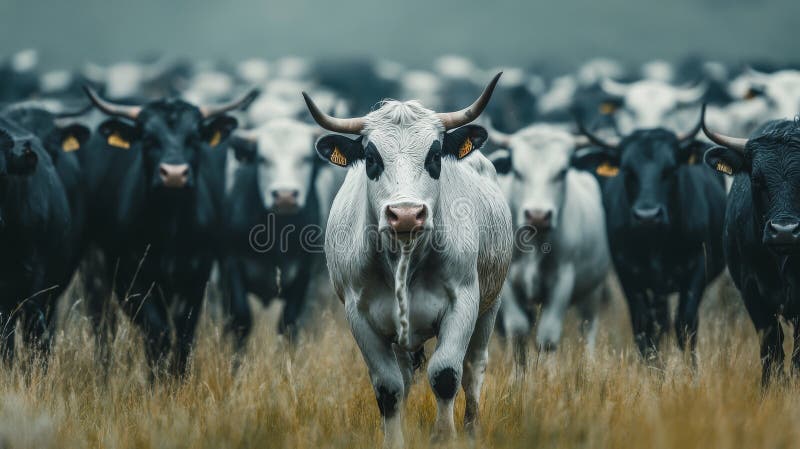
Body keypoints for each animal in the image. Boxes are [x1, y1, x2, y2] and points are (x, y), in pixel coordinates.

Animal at [80, 86, 256, 374]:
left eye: (194, 137)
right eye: (148, 138)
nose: (174, 174)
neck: (171, 229)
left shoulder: (196, 278)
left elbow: (184, 335)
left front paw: (177, 377)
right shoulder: (130, 278)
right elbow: (158, 332)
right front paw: (158, 379)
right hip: (93, 267)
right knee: (103, 327)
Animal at [222, 118, 333, 342]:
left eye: (306, 158)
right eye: (263, 159)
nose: (285, 196)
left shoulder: (303, 273)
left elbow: (288, 323)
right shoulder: (232, 265)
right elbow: (241, 318)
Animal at [303, 73, 512, 446]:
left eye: (435, 155)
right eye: (371, 157)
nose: (405, 214)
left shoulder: (463, 303)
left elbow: (446, 375)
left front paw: (445, 436)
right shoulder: (360, 316)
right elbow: (389, 389)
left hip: (490, 306)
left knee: (474, 369)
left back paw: (472, 428)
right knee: (405, 377)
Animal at [487, 124, 610, 365]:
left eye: (562, 172)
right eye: (517, 171)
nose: (538, 215)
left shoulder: (562, 280)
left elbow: (548, 338)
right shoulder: (507, 282)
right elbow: (518, 331)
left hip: (593, 290)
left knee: (588, 327)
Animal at [572, 112, 726, 365]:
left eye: (670, 169)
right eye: (627, 171)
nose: (647, 216)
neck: (656, 243)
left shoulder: (697, 267)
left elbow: (686, 323)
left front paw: (691, 370)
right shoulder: (628, 273)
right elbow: (643, 326)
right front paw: (652, 369)